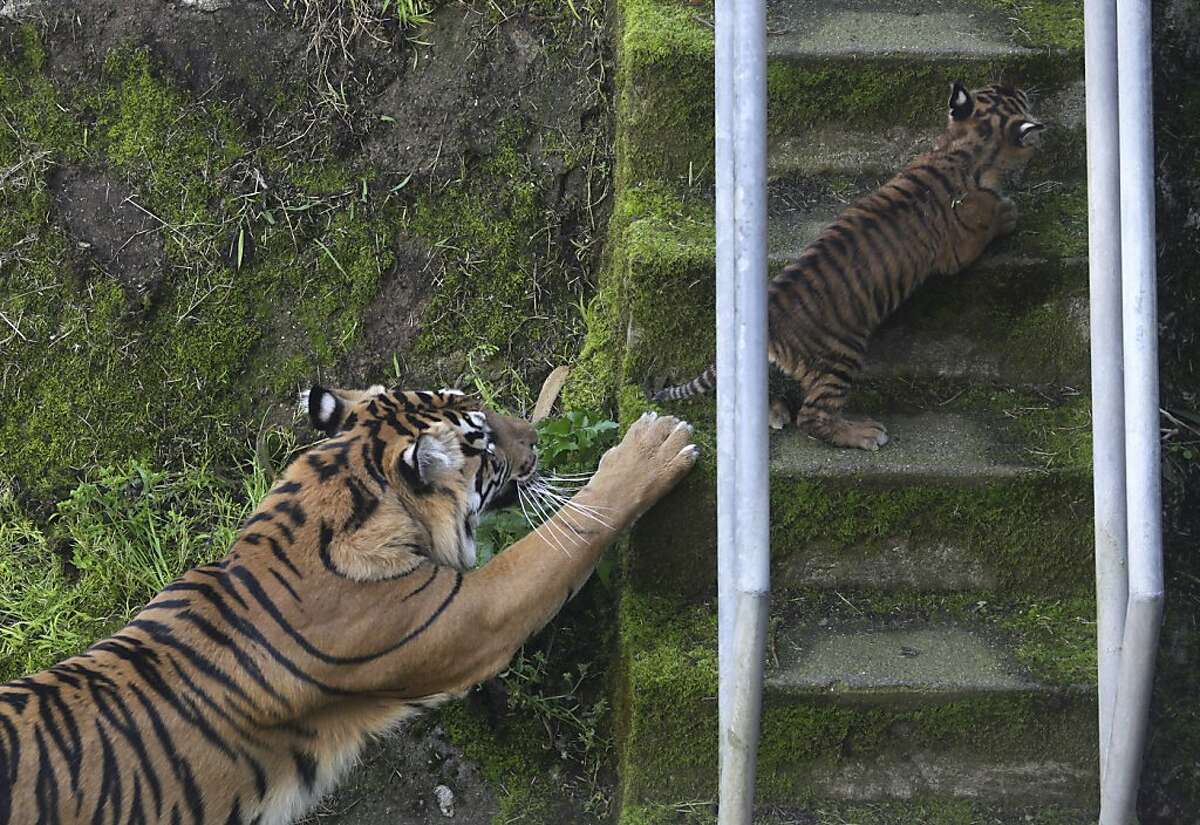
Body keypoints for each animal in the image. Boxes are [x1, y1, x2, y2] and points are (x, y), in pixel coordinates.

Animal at [0, 386, 698, 825]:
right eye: (484, 443)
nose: (537, 436)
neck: (341, 486)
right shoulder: (471, 617)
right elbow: (567, 535)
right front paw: (654, 448)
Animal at [651, 81, 1044, 450]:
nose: (1021, 85)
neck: (963, 148)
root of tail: (771, 307)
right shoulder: (959, 249)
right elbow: (990, 222)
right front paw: (1008, 213)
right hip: (841, 356)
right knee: (813, 417)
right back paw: (862, 433)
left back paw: (774, 412)